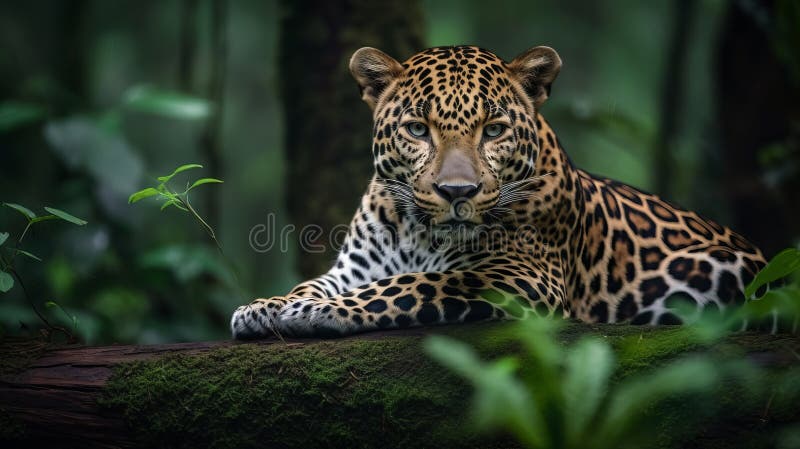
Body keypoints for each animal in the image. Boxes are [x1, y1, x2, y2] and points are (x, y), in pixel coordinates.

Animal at [231, 45, 766, 339]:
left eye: (493, 131)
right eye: (418, 129)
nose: (457, 191)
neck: (417, 231)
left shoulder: (522, 275)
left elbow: (412, 284)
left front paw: (319, 311)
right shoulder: (351, 269)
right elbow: (313, 284)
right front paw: (266, 308)